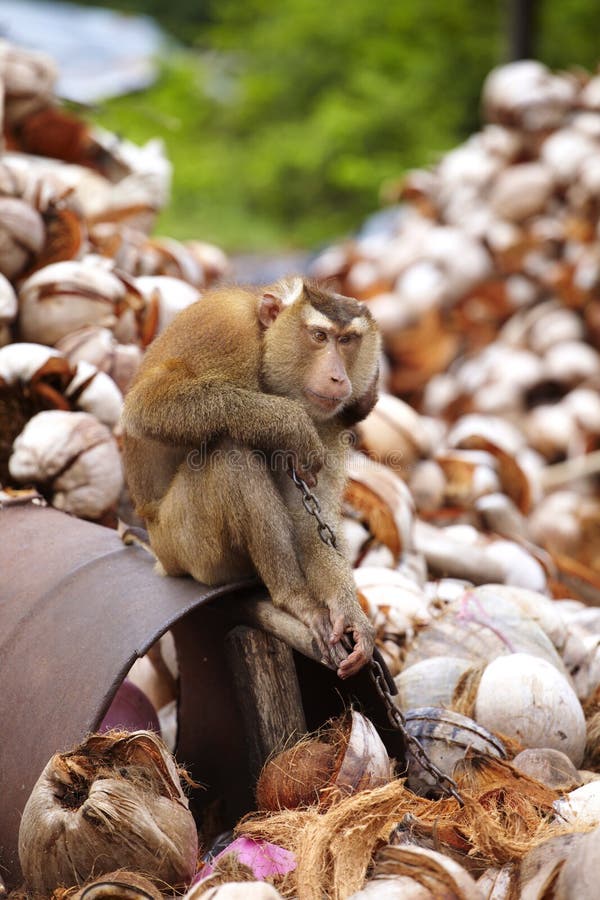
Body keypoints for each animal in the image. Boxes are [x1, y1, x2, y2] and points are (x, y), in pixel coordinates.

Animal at [121, 276, 381, 678]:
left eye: (348, 340)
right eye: (319, 336)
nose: (339, 377)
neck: (264, 343)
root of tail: (162, 558)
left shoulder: (330, 420)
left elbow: (310, 522)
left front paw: (349, 611)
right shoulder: (225, 331)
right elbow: (145, 408)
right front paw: (288, 423)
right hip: (185, 547)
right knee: (231, 452)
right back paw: (293, 599)